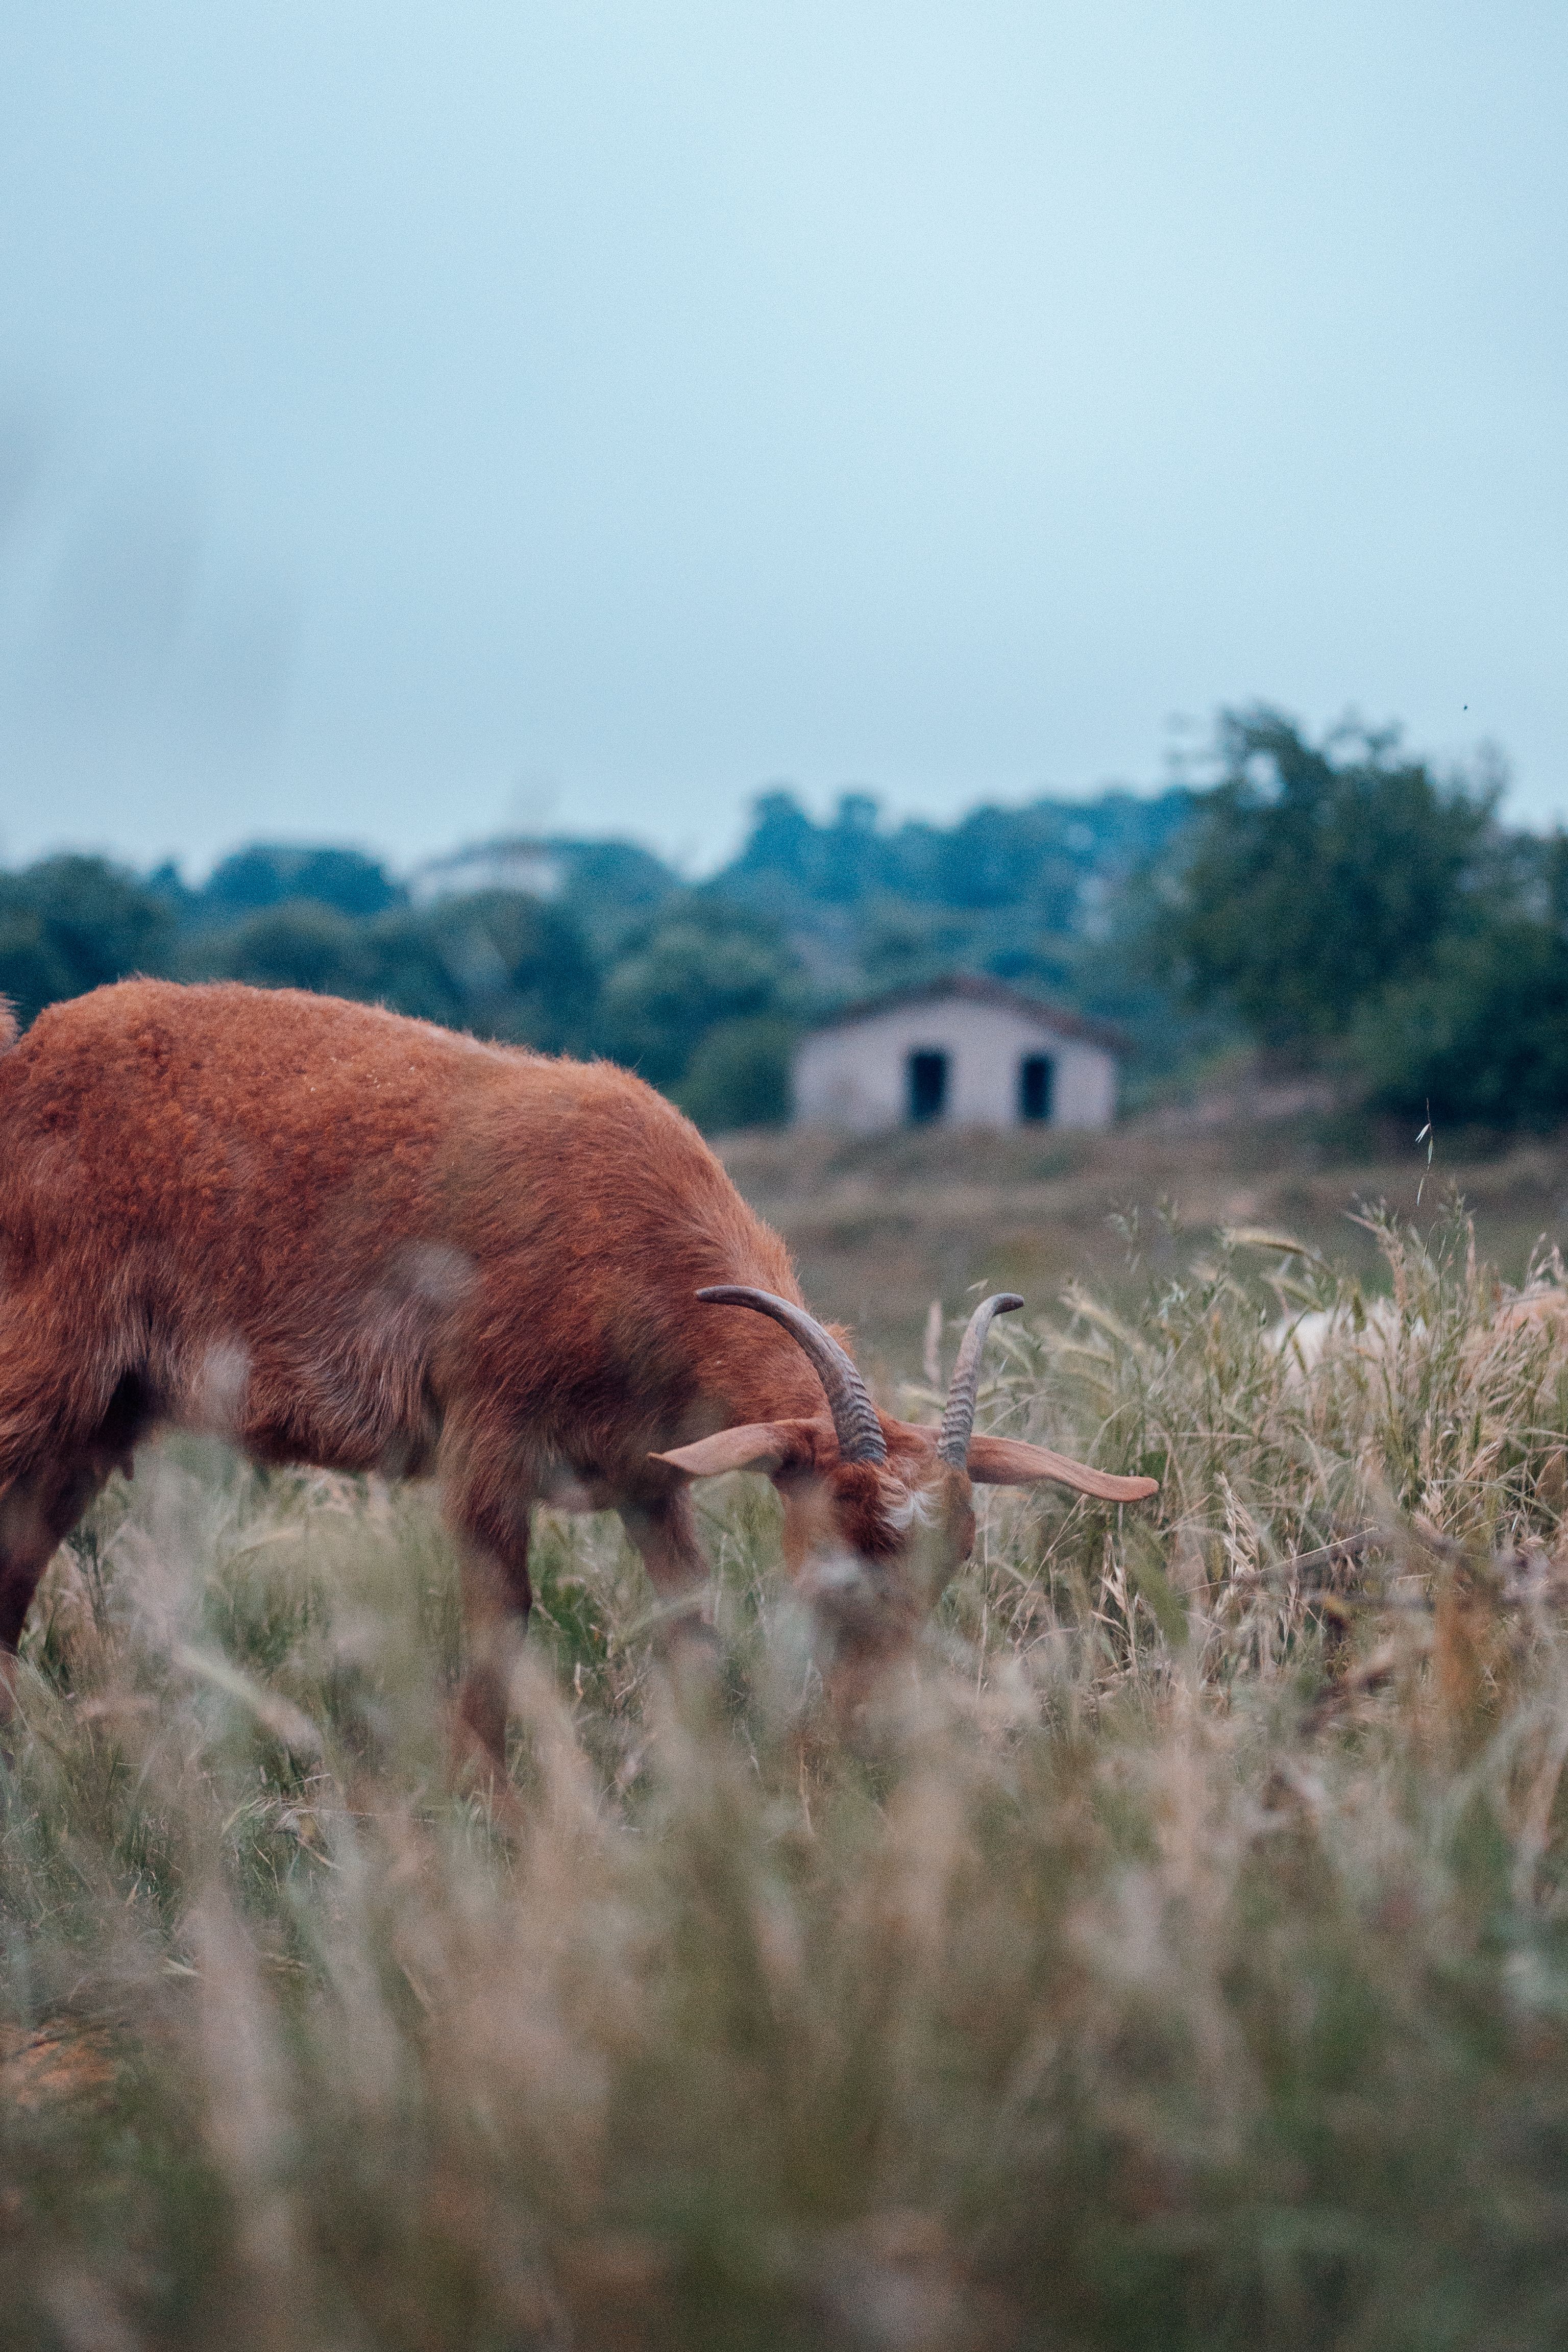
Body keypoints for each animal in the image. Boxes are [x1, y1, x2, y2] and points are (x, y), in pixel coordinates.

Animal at [0, 980, 1158, 1756]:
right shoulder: (485, 1436)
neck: (637, 1246)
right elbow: (501, 1621)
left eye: (954, 1555)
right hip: (42, 1363)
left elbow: (690, 1623)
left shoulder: (647, 1472)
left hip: (106, 1408)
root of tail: (29, 1051)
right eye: (836, 1548)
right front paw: (484, 1804)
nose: (864, 1724)